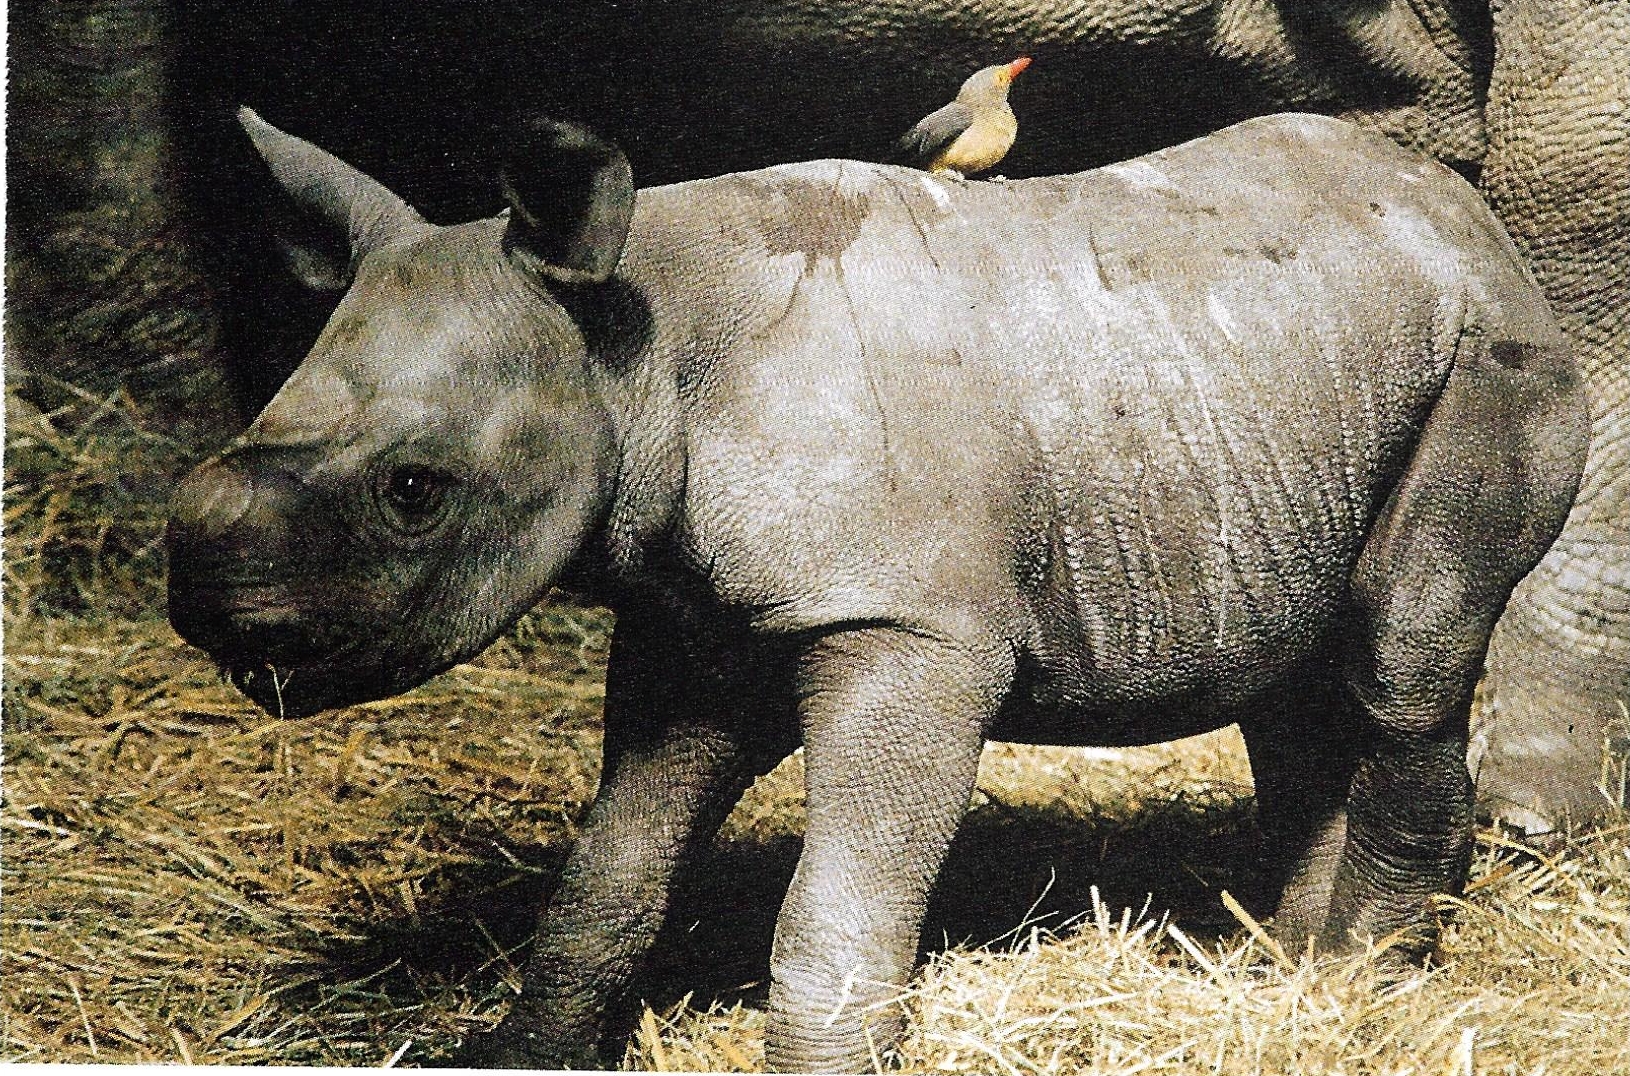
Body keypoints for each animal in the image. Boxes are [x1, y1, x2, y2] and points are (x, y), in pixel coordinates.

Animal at [167, 109, 1587, 1071]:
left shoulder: (909, 627)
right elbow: (611, 868)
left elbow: (835, 906)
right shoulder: (688, 620)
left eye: (415, 490)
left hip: (1495, 355)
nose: (208, 611)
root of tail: (1470, 214)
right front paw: (518, 1055)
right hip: (1294, 366)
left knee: (1403, 652)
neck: (634, 342)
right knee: (1297, 673)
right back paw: (1282, 968)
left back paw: (1362, 986)